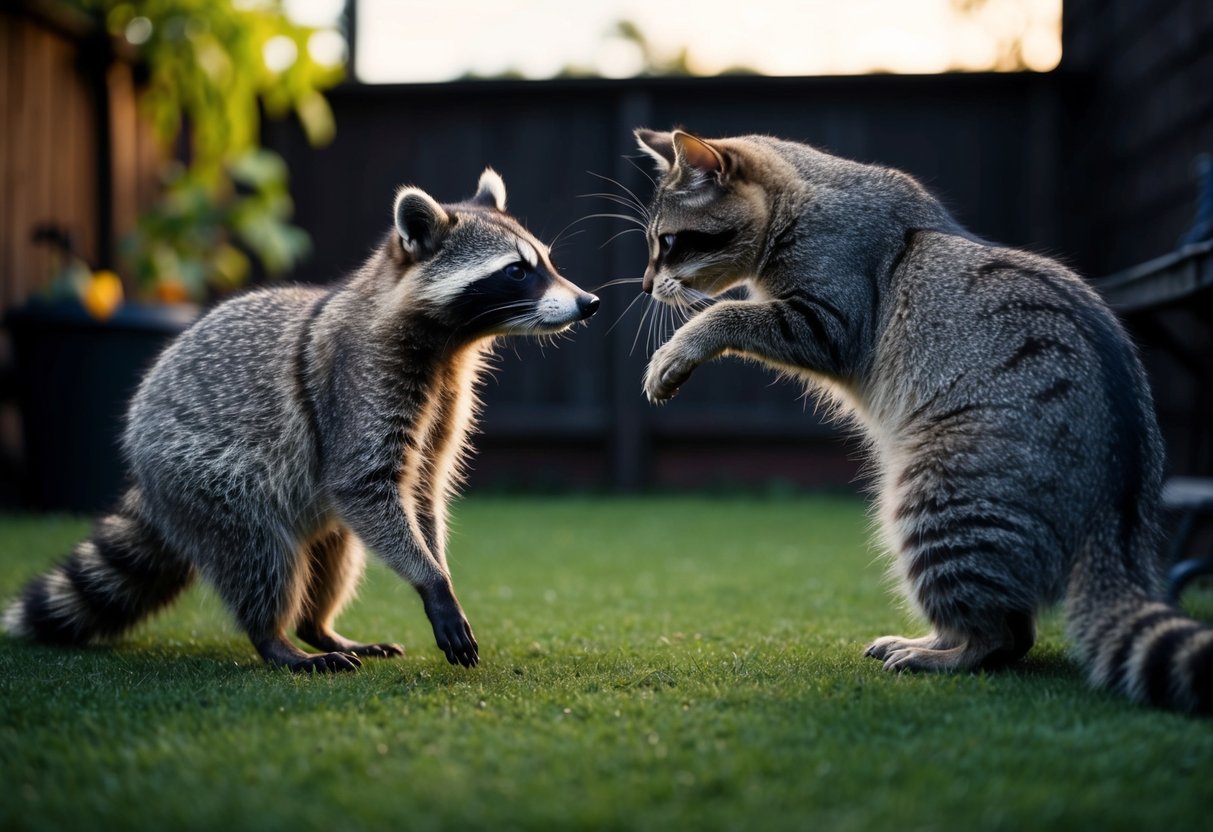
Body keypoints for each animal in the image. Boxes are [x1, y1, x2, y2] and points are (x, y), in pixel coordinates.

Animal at [4, 169, 599, 672]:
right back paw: (277, 640)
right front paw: (433, 583)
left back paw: (319, 627)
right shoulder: (357, 384)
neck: (450, 342)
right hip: (205, 476)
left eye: (546, 262)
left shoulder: (446, 400)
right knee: (260, 555)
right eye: (516, 271)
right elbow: (363, 484)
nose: (589, 302)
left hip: (298, 507)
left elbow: (424, 492)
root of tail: (144, 476)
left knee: (334, 554)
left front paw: (439, 568)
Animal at [633, 128, 1212, 713]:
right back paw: (940, 637)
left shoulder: (836, 304)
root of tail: (1119, 510)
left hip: (948, 493)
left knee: (1005, 635)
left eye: (668, 242)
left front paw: (687, 341)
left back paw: (953, 651)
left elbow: (734, 314)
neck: (802, 198)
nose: (644, 285)